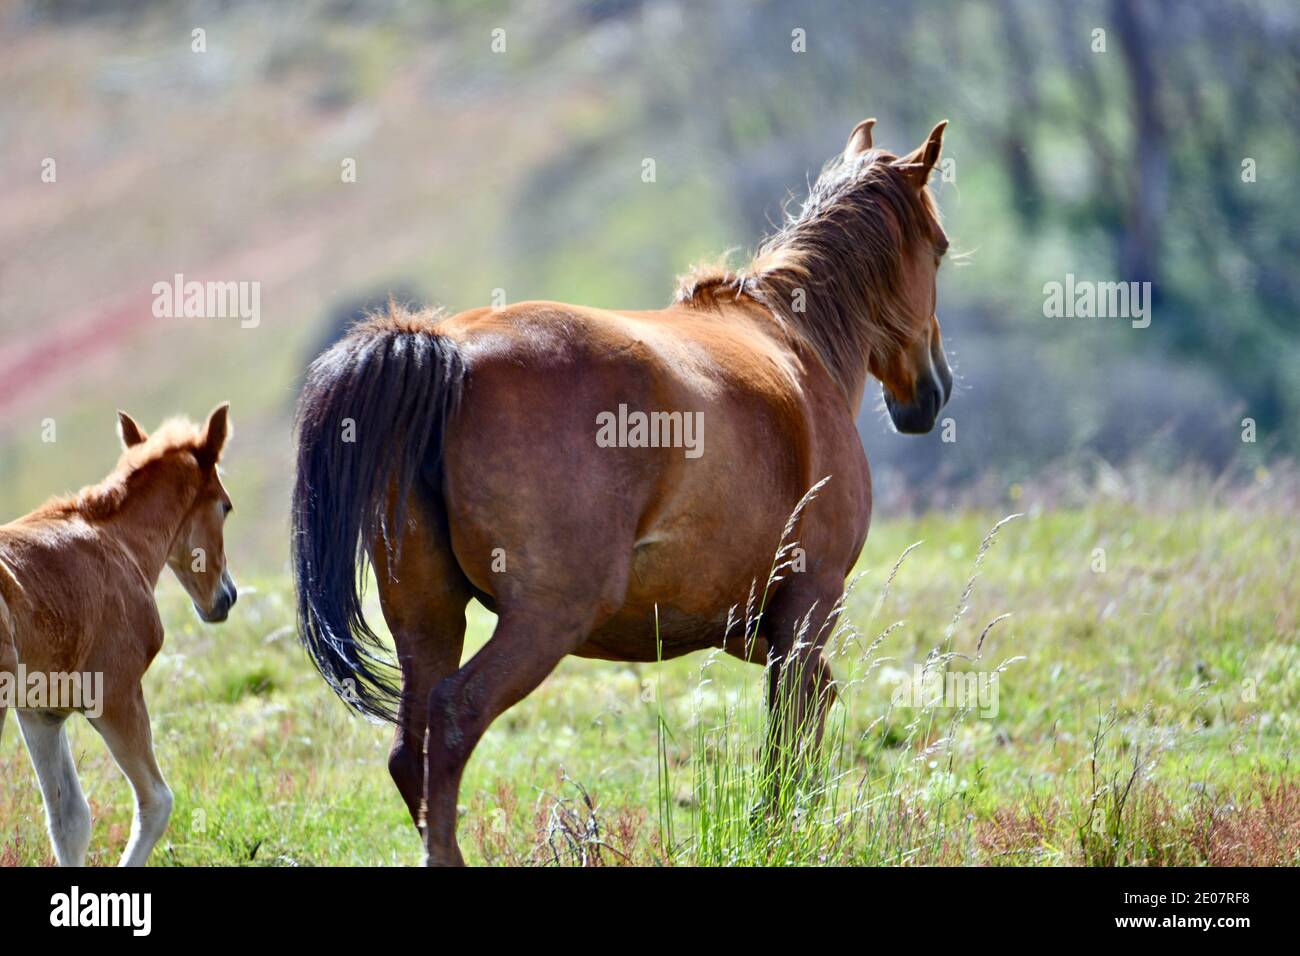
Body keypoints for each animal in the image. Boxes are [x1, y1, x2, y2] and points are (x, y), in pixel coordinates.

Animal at [0, 404, 236, 866]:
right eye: (226, 506)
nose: (226, 597)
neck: (115, 540)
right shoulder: (116, 693)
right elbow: (157, 801)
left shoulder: (40, 711)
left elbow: (70, 820)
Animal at [293, 118, 952, 866]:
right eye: (939, 248)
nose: (931, 393)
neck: (794, 342)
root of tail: (448, 352)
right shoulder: (810, 602)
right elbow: (793, 722)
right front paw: (780, 825)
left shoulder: (747, 622)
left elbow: (815, 701)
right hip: (546, 618)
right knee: (454, 716)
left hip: (428, 613)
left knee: (411, 749)